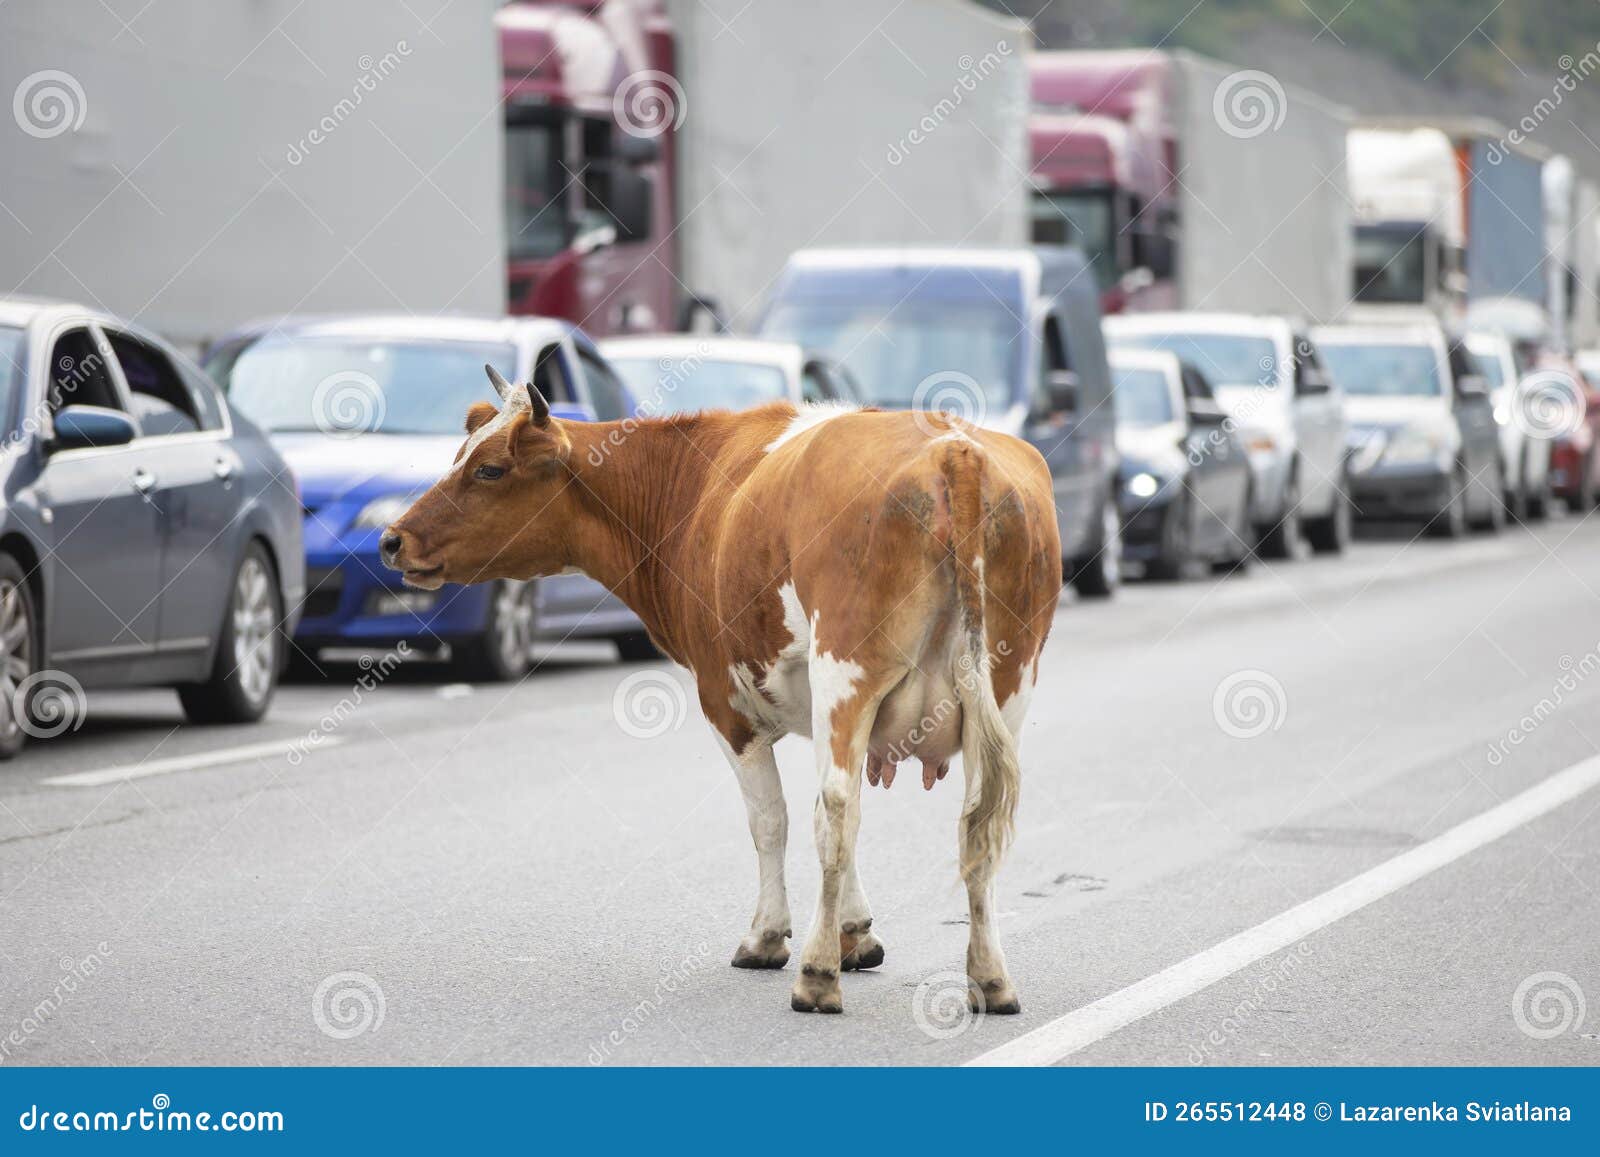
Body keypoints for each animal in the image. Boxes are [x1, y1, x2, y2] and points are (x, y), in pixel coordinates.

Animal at [381, 366, 1062, 1015]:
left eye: (489, 469)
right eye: (459, 455)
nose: (391, 539)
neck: (690, 487)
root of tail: (953, 450)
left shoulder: (724, 703)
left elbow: (771, 820)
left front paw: (771, 937)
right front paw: (856, 933)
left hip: (845, 672)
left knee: (837, 809)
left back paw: (817, 978)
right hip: (1007, 686)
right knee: (975, 822)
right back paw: (990, 978)